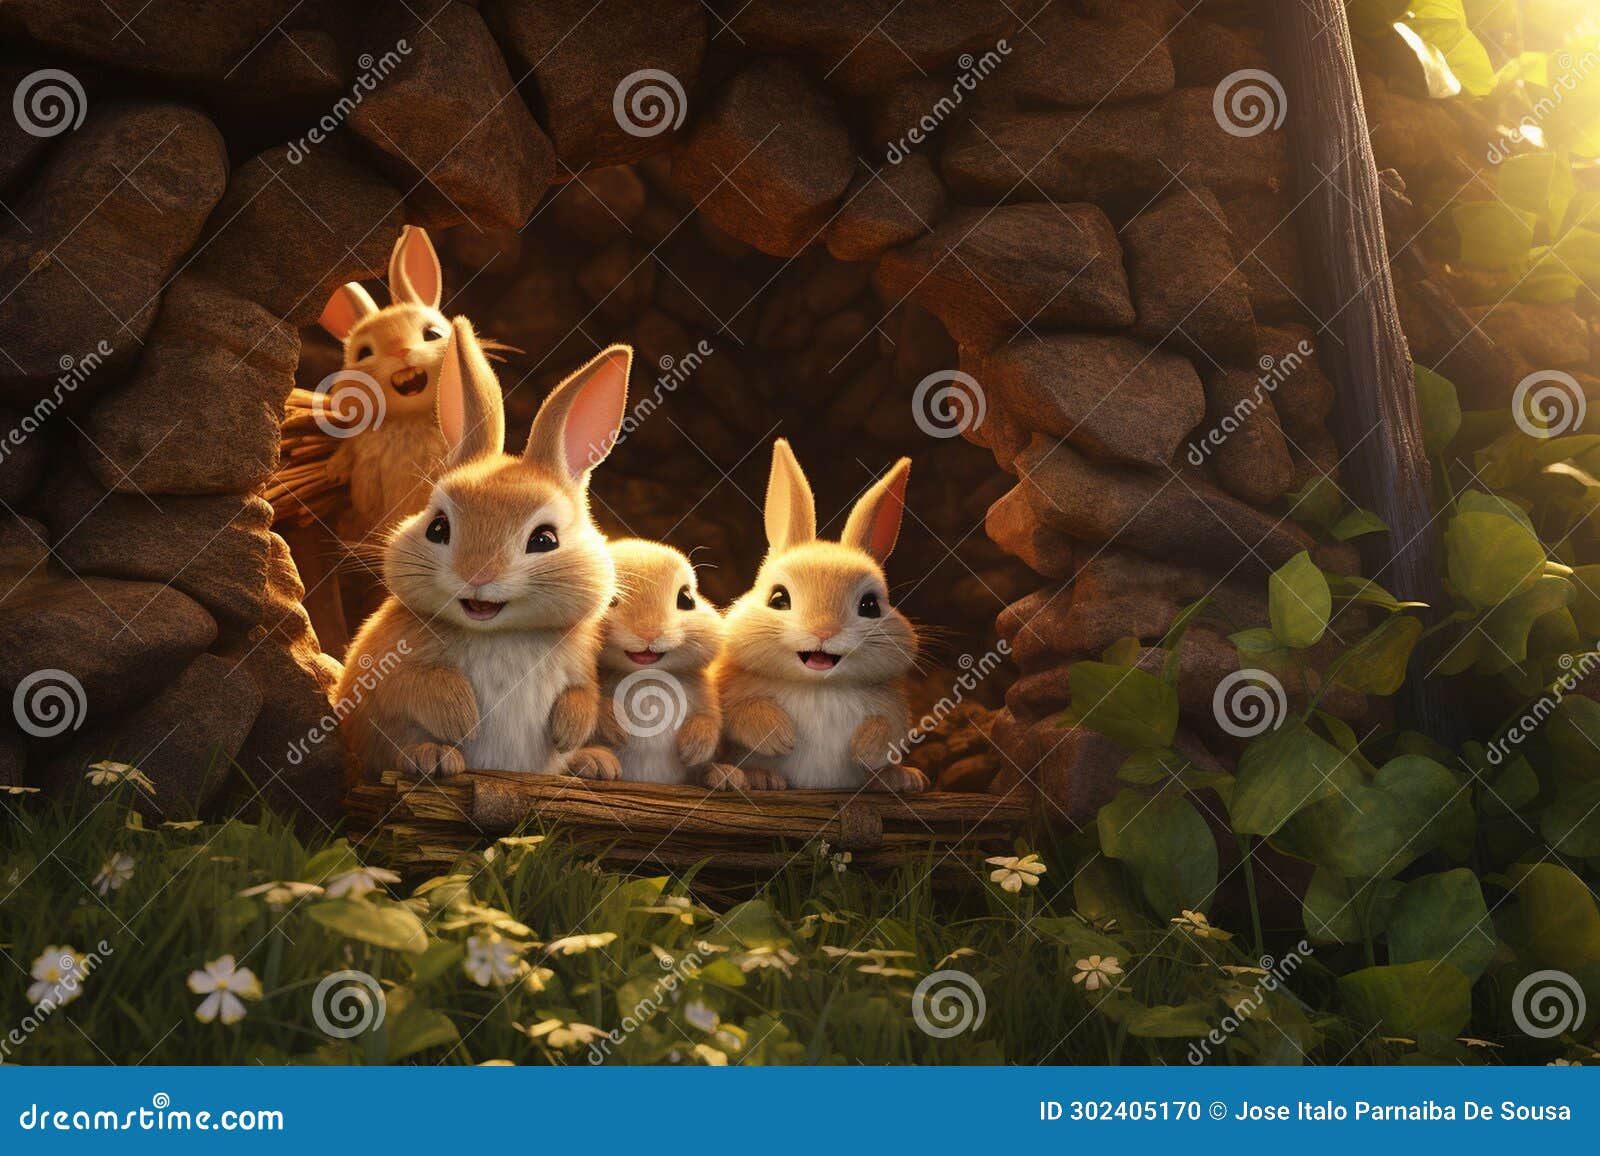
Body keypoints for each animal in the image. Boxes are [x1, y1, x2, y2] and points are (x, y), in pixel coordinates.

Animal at [336, 316, 631, 781]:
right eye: (438, 528)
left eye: (544, 540)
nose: (476, 576)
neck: (499, 633)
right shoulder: (383, 671)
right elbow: (415, 685)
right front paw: (463, 721)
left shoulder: (582, 669)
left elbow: (582, 695)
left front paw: (568, 733)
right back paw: (432, 757)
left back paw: (594, 763)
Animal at [594, 538, 727, 785]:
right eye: (609, 598)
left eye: (686, 600)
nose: (649, 633)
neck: (647, 675)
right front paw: (618, 727)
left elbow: (710, 720)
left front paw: (692, 748)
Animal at [712, 439, 926, 792]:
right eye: (778, 599)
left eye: (870, 606)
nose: (824, 631)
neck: (818, 685)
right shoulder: (731, 690)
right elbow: (741, 711)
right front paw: (780, 736)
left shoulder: (894, 706)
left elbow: (889, 727)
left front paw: (866, 749)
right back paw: (761, 778)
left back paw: (901, 779)